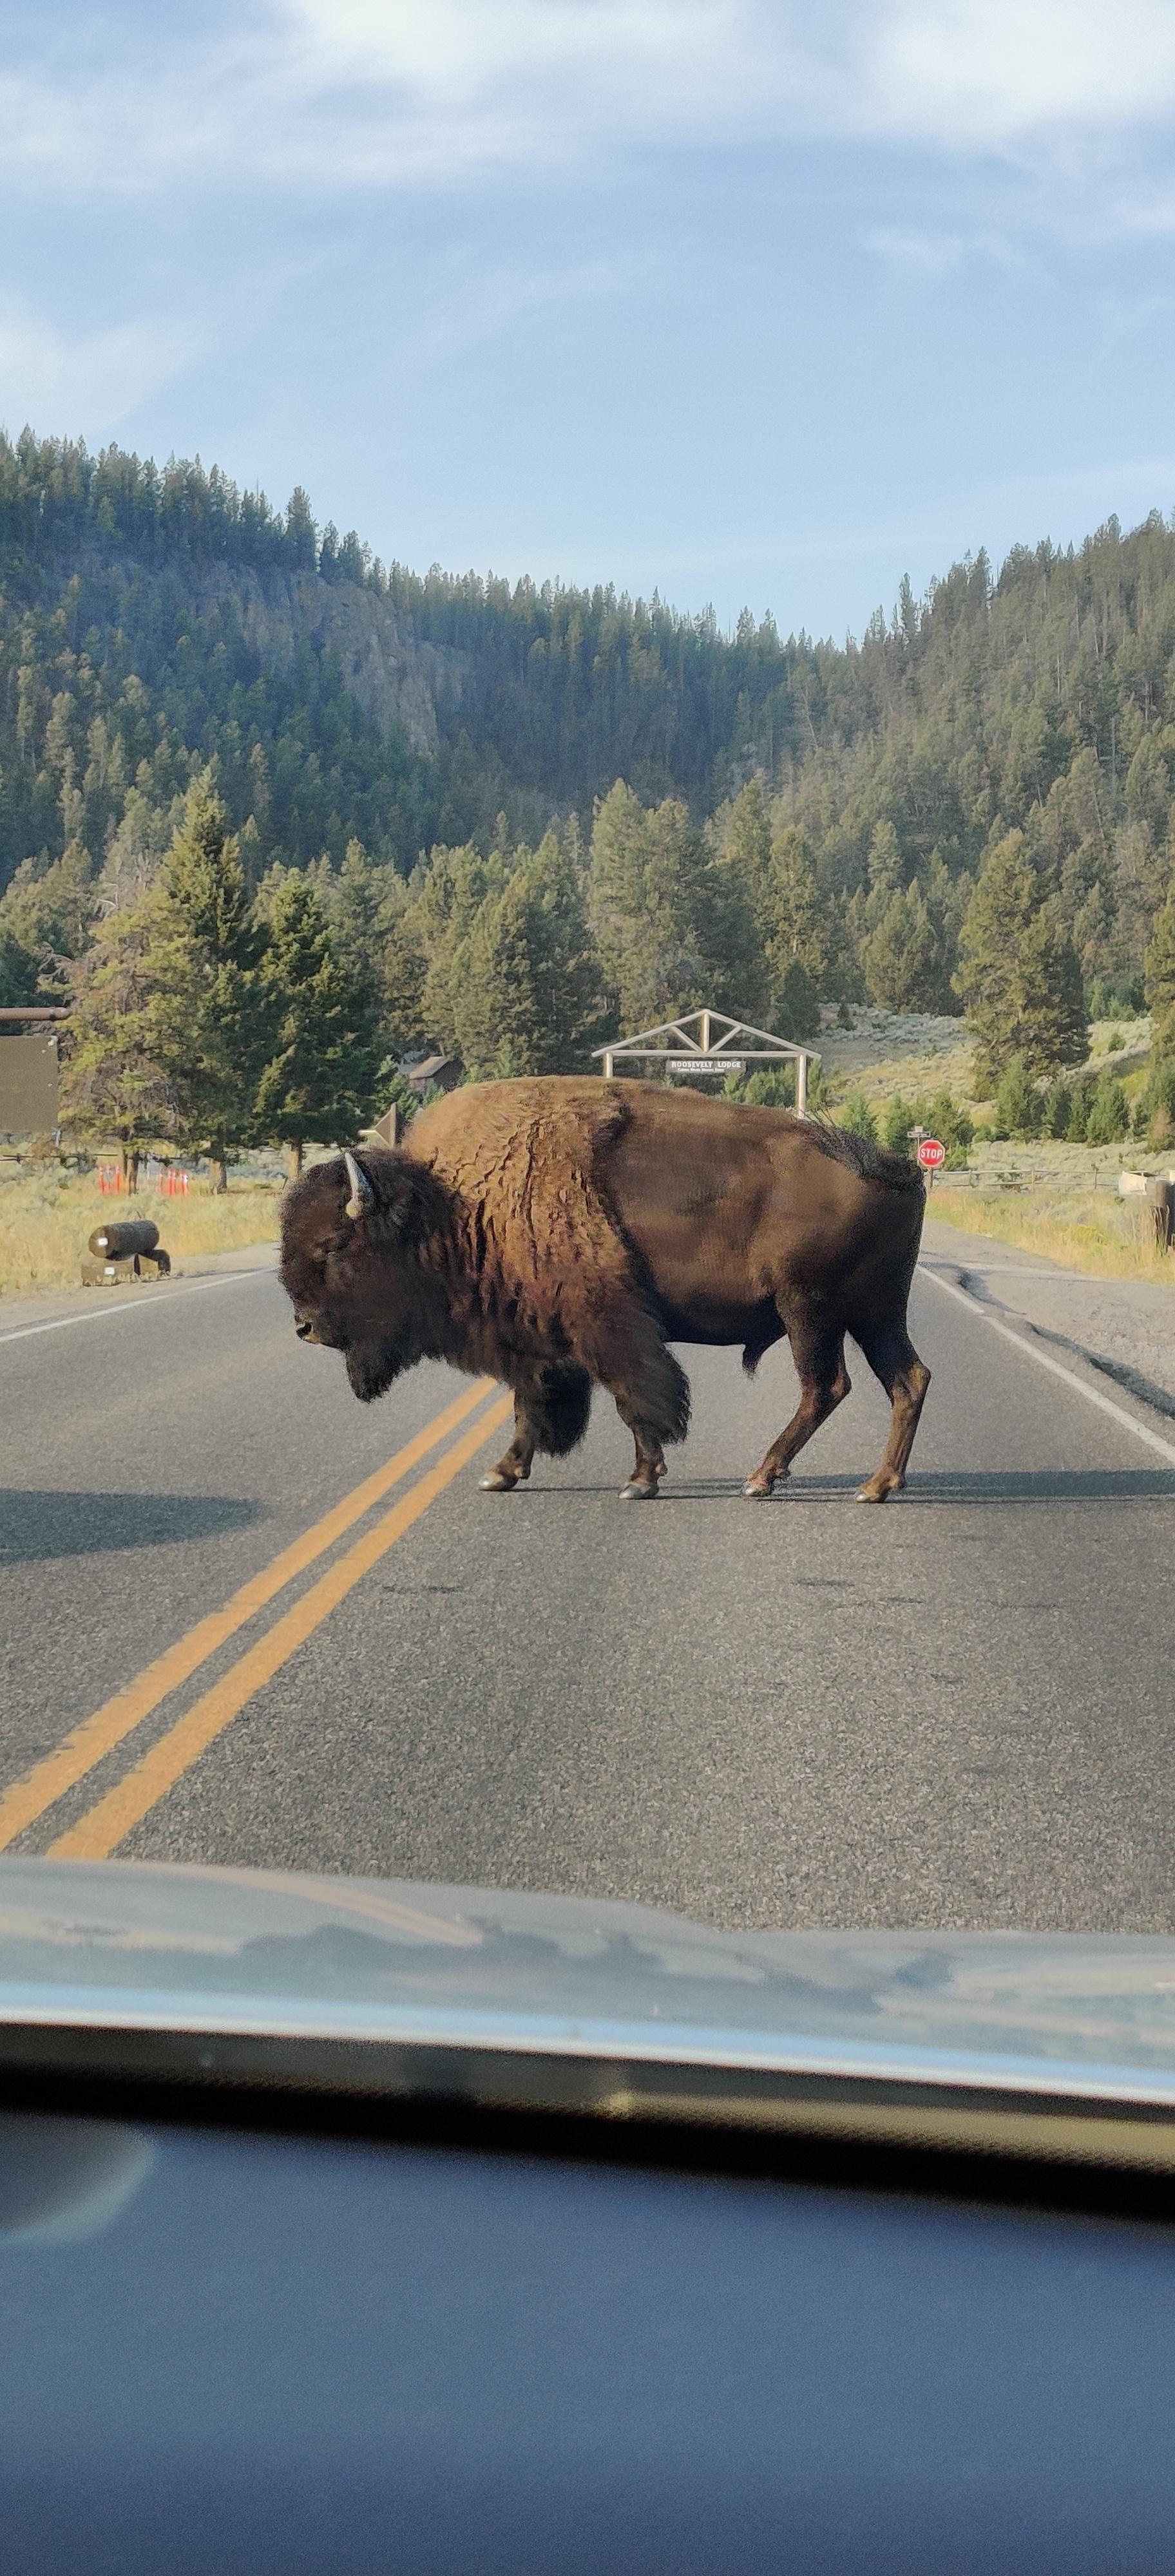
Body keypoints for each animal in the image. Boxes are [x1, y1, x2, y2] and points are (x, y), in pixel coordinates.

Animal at [280, 1076, 930, 1502]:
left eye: (334, 1246)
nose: (304, 1327)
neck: (453, 1206)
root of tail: (895, 1167)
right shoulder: (539, 1340)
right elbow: (529, 1406)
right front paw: (502, 1473)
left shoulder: (606, 1326)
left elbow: (634, 1397)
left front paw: (640, 1481)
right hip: (876, 1314)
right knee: (907, 1380)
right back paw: (877, 1486)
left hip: (809, 1312)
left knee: (826, 1386)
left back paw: (762, 1479)